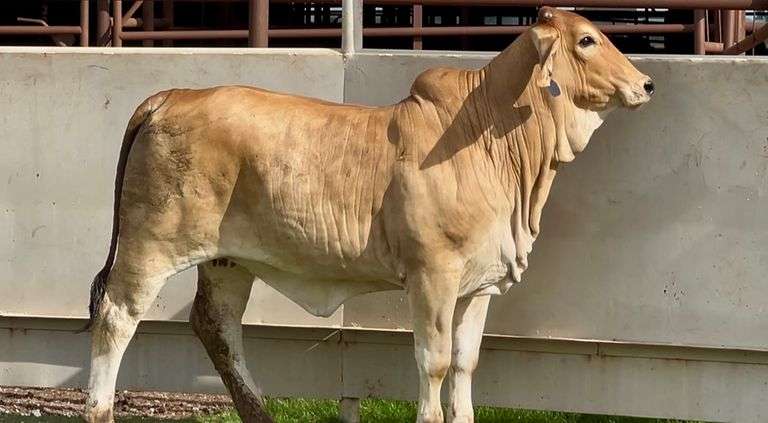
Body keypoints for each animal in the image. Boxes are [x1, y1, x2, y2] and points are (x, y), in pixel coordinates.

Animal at [84, 6, 653, 423]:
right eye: (586, 40)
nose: (647, 83)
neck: (492, 136)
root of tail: (168, 96)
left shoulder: (479, 285)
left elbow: (464, 366)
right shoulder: (432, 276)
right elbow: (434, 363)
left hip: (227, 262)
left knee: (217, 327)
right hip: (150, 244)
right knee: (116, 317)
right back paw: (101, 409)